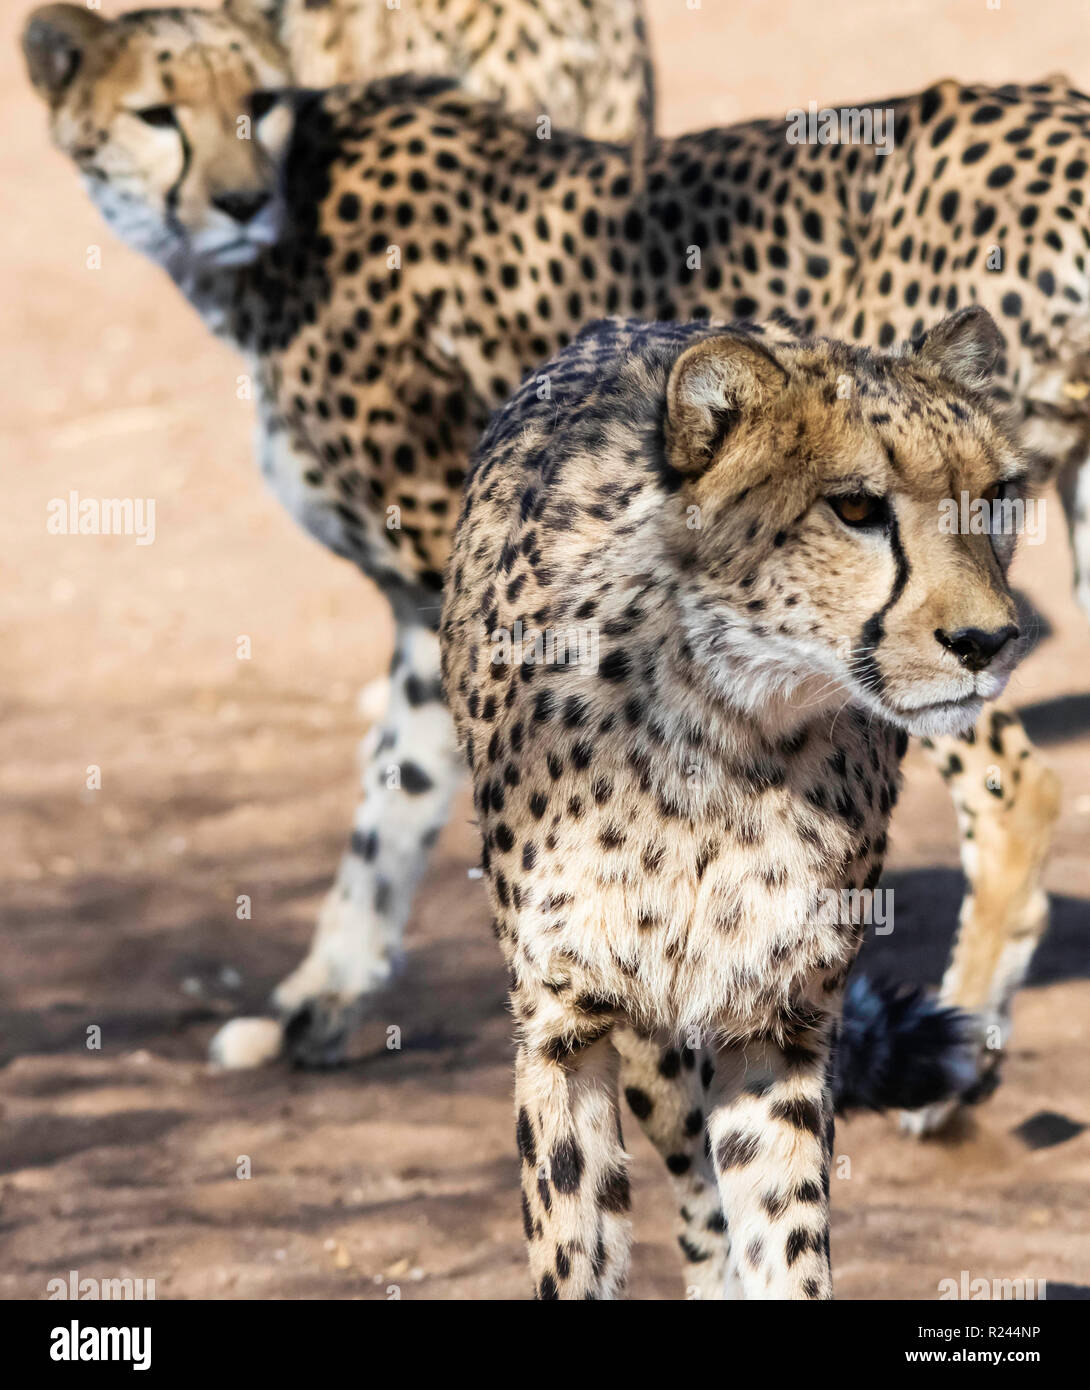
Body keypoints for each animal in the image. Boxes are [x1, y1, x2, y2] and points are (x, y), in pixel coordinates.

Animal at [24, 6, 1066, 1134]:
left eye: (256, 102)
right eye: (156, 112)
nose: (238, 201)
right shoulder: (447, 608)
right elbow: (392, 798)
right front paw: (321, 999)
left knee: (1018, 784)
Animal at [439, 309, 1030, 1299]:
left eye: (996, 496)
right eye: (857, 508)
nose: (989, 640)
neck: (726, 722)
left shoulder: (777, 1020)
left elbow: (788, 1242)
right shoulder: (565, 1022)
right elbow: (576, 1242)